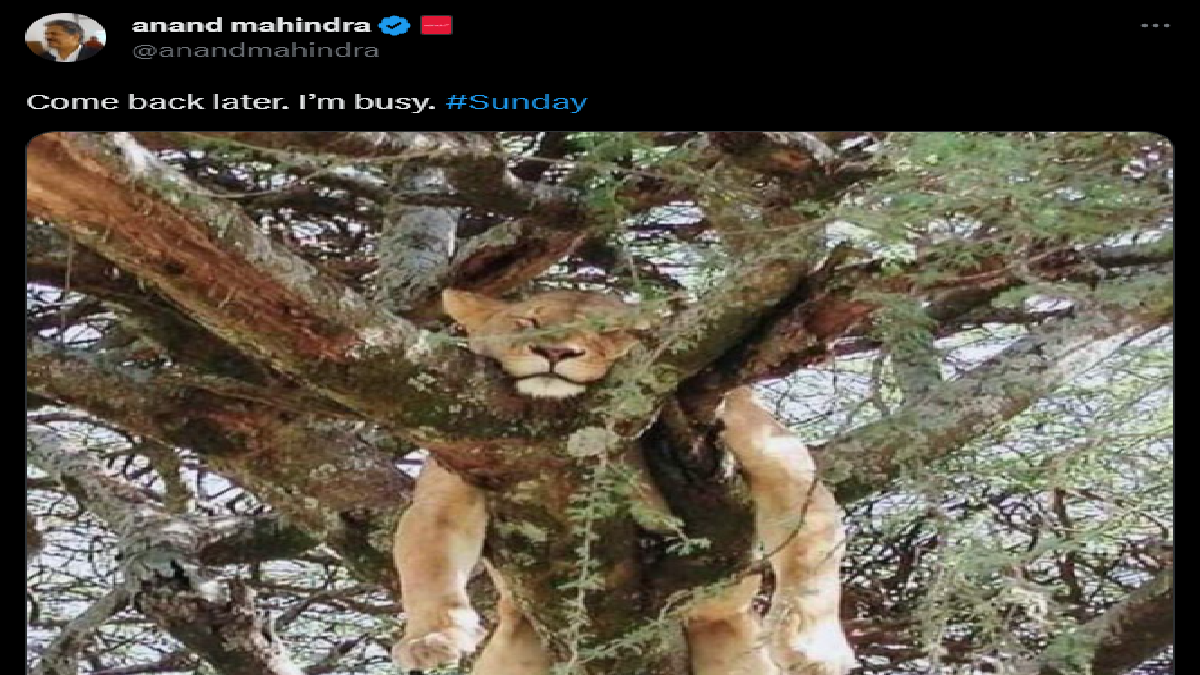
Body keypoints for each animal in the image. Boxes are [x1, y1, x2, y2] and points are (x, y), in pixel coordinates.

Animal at [393, 290, 856, 675]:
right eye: (529, 321)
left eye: (610, 330)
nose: (555, 351)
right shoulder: (457, 469)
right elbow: (426, 558)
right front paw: (430, 636)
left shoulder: (781, 461)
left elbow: (811, 557)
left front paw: (814, 650)